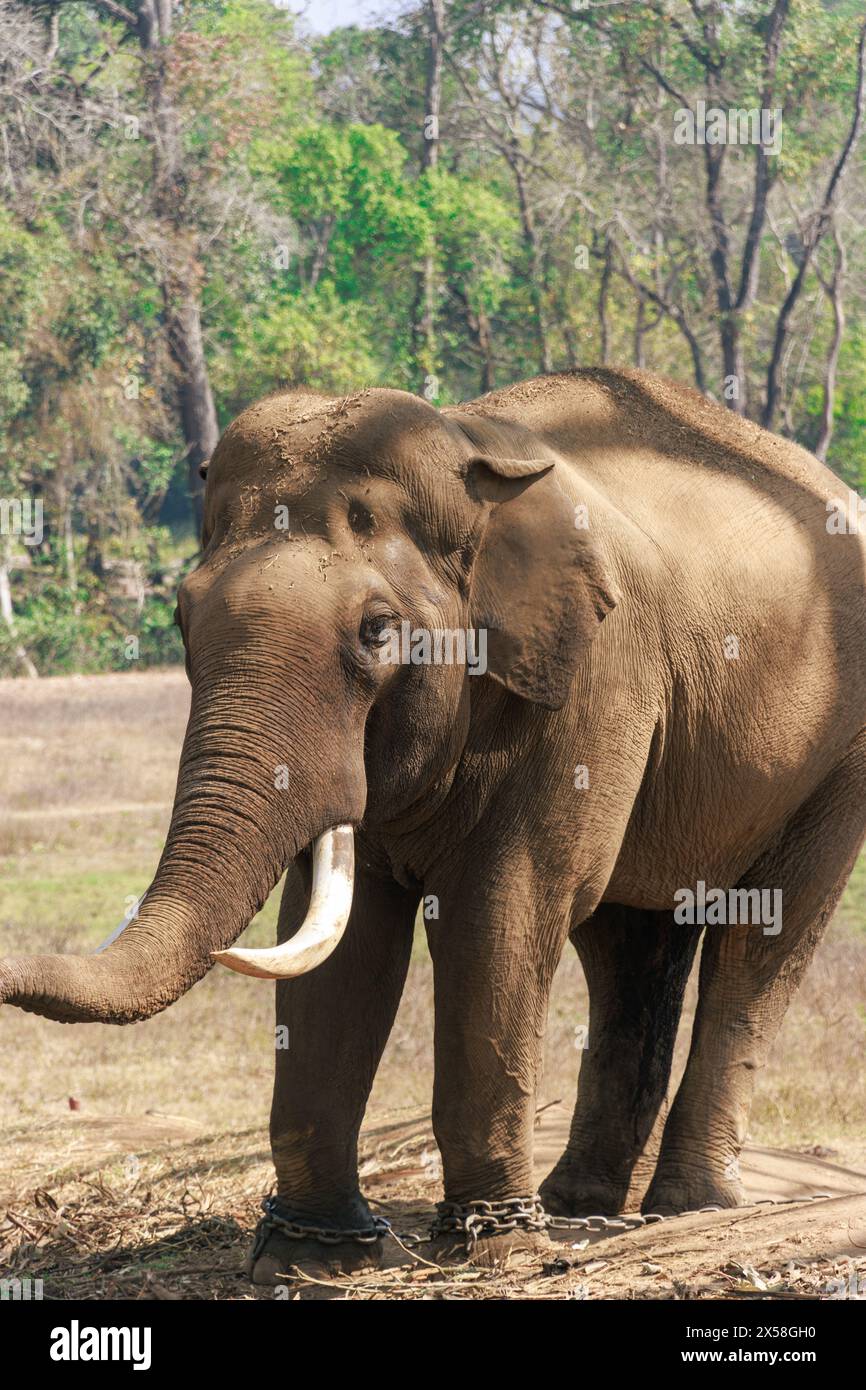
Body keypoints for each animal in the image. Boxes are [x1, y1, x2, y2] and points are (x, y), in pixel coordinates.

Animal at [2, 367, 865, 1284]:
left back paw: (687, 1207)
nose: (7, 973)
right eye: (179, 619)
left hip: (837, 755)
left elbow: (506, 909)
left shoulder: (591, 683)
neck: (473, 457)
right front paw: (314, 1256)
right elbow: (342, 943)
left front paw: (496, 1250)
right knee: (628, 946)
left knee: (764, 937)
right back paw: (580, 1204)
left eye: (377, 631)